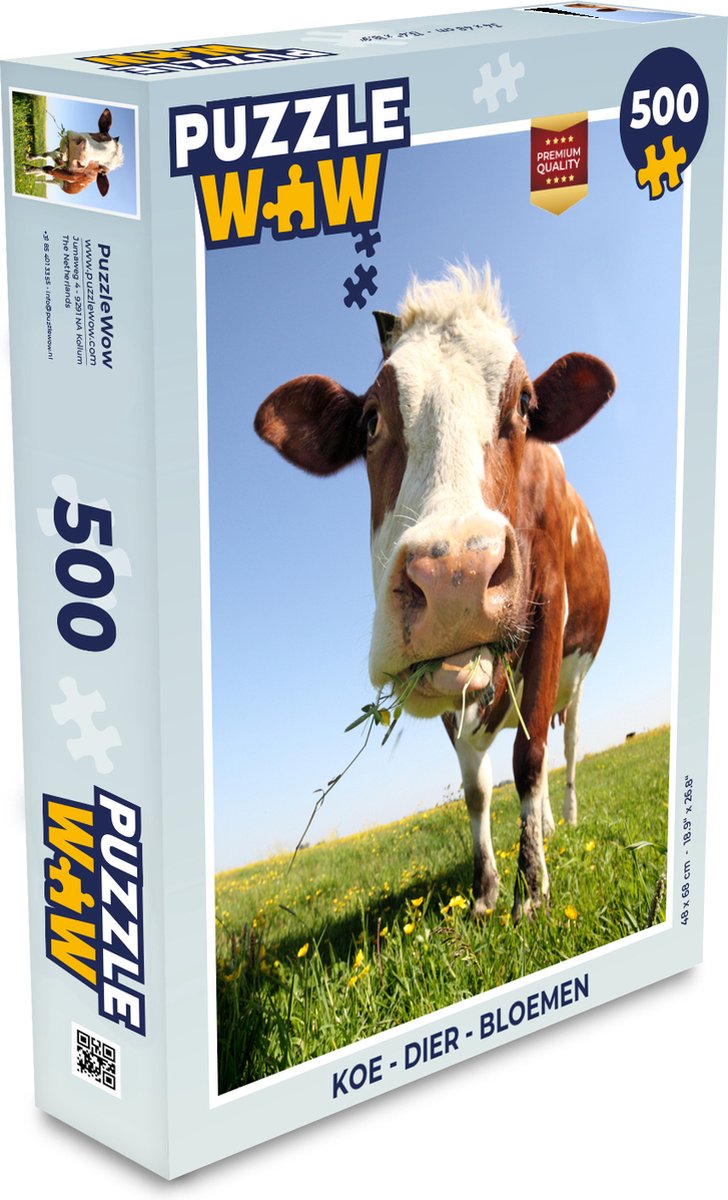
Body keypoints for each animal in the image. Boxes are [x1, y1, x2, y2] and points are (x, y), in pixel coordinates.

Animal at [254, 265, 613, 922]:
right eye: (371, 420)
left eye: (526, 404)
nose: (456, 579)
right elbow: (476, 786)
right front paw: (486, 891)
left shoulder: (548, 610)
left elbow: (529, 758)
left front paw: (531, 892)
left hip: (576, 680)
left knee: (566, 745)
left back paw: (568, 821)